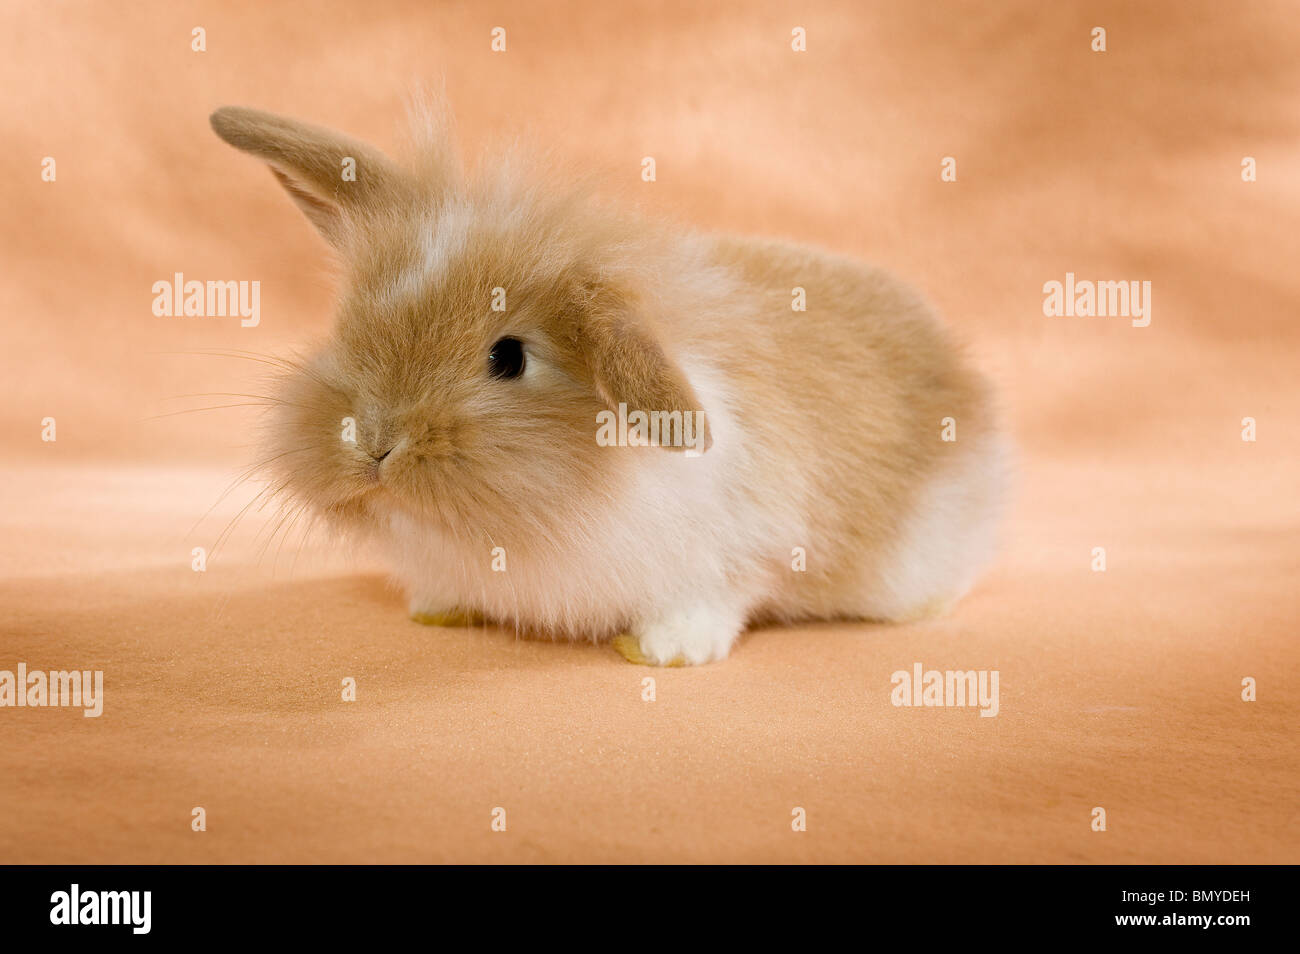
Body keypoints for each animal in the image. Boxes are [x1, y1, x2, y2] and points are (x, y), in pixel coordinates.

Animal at [209, 103, 1008, 666]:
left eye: (508, 357)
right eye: (347, 322)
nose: (372, 443)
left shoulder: (735, 553)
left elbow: (715, 600)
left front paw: (664, 652)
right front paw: (436, 607)